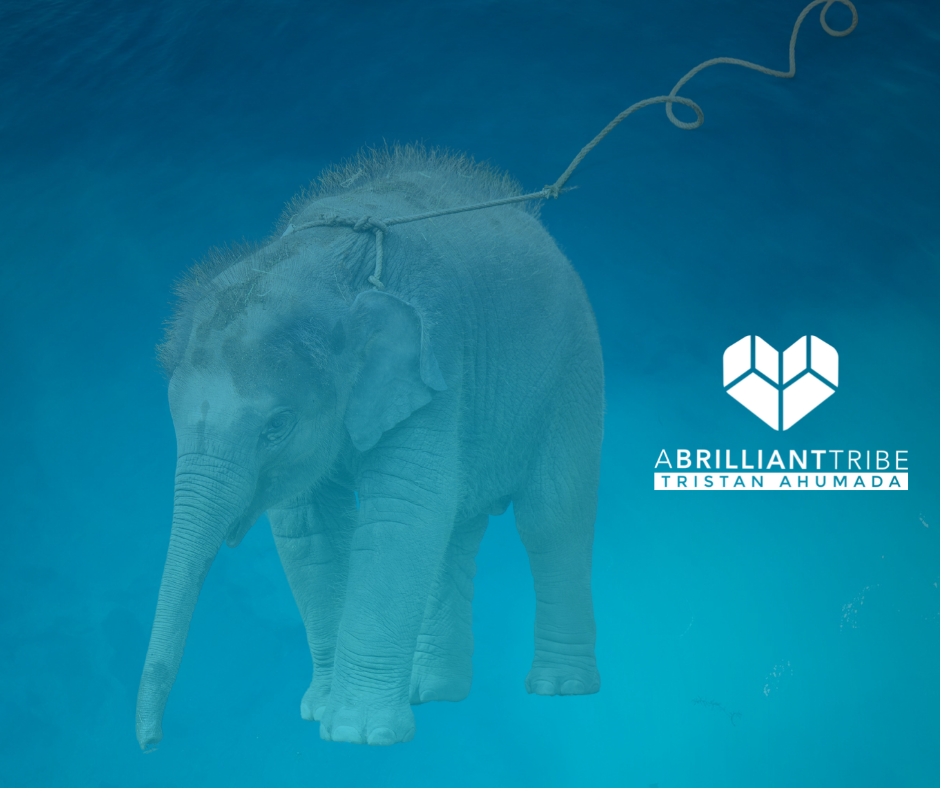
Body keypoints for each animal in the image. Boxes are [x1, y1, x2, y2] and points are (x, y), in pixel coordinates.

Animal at [136, 144, 604, 749]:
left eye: (276, 427)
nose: (150, 743)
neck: (328, 269)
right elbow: (309, 531)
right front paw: (321, 712)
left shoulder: (436, 365)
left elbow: (399, 516)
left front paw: (358, 733)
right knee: (455, 524)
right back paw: (429, 691)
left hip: (573, 369)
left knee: (552, 516)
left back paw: (558, 689)